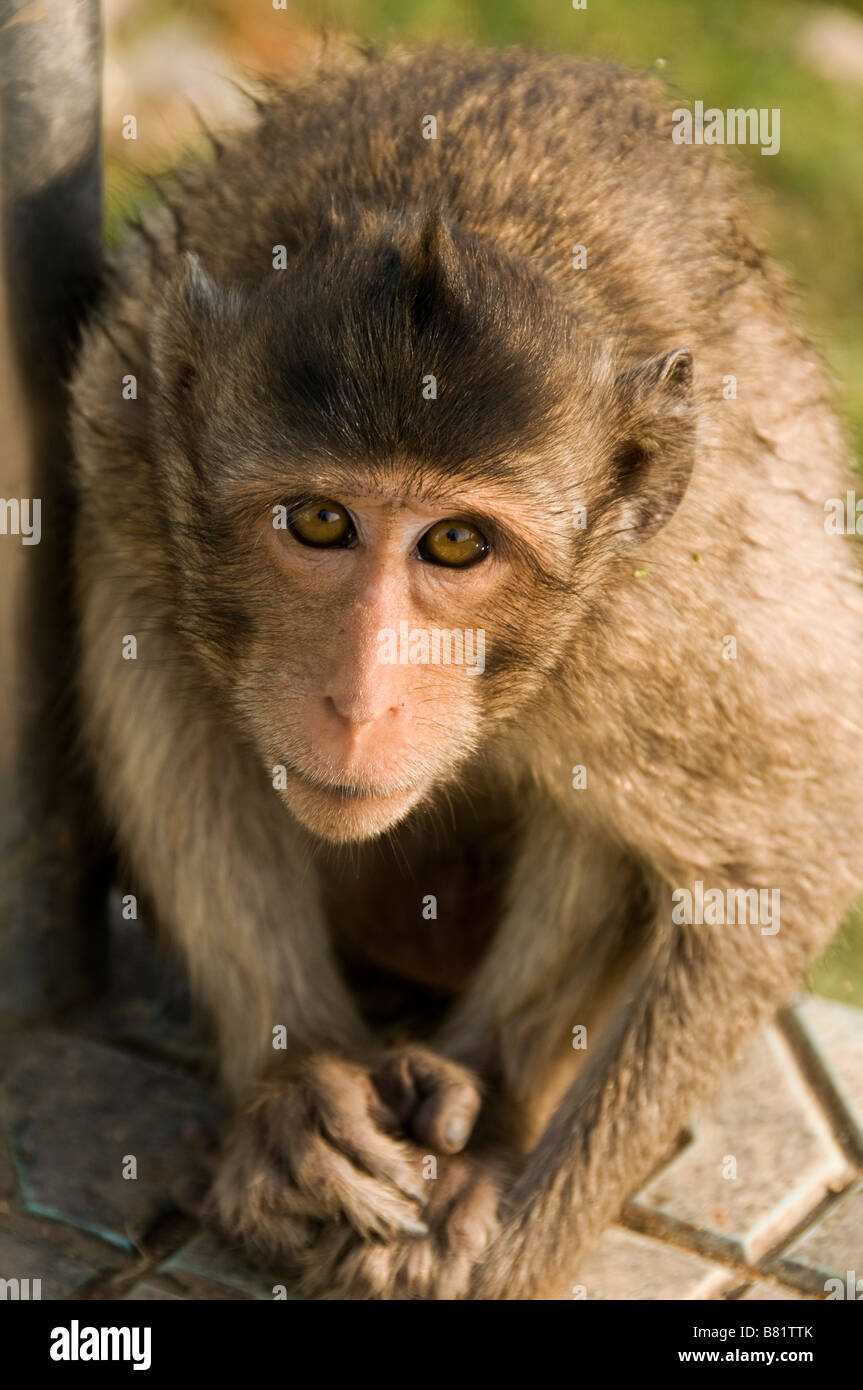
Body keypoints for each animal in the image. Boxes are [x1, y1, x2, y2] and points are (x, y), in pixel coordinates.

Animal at [69, 44, 863, 1300]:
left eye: (453, 543)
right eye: (319, 520)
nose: (361, 697)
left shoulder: (682, 606)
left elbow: (789, 852)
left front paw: (512, 1248)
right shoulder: (126, 431)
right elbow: (145, 633)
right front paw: (295, 1088)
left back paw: (480, 1102)